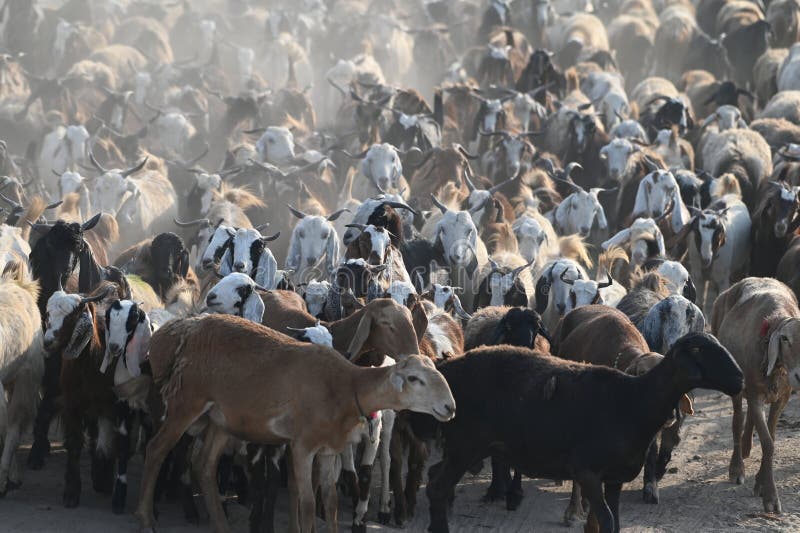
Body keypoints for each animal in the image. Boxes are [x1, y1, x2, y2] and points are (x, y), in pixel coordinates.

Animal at [135, 314, 455, 533]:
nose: (450, 407)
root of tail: (182, 330)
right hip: (186, 403)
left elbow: (330, 502)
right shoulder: (302, 446)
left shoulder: (327, 450)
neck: (345, 385)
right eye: (414, 378)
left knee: (204, 466)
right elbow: (308, 503)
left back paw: (221, 525)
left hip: (220, 419)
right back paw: (147, 519)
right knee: (155, 450)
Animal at [418, 334, 743, 533]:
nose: (740, 379)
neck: (634, 401)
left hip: (462, 447)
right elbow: (607, 521)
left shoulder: (614, 478)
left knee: (435, 482)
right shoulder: (587, 472)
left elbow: (615, 523)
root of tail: (449, 367)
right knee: (437, 488)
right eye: (700, 350)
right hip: (465, 445)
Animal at [711, 277, 800, 514]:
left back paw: (746, 447)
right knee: (737, 420)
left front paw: (760, 482)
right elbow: (768, 443)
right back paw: (737, 466)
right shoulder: (755, 393)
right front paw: (770, 496)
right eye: (785, 339)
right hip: (735, 381)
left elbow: (771, 436)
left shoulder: (782, 397)